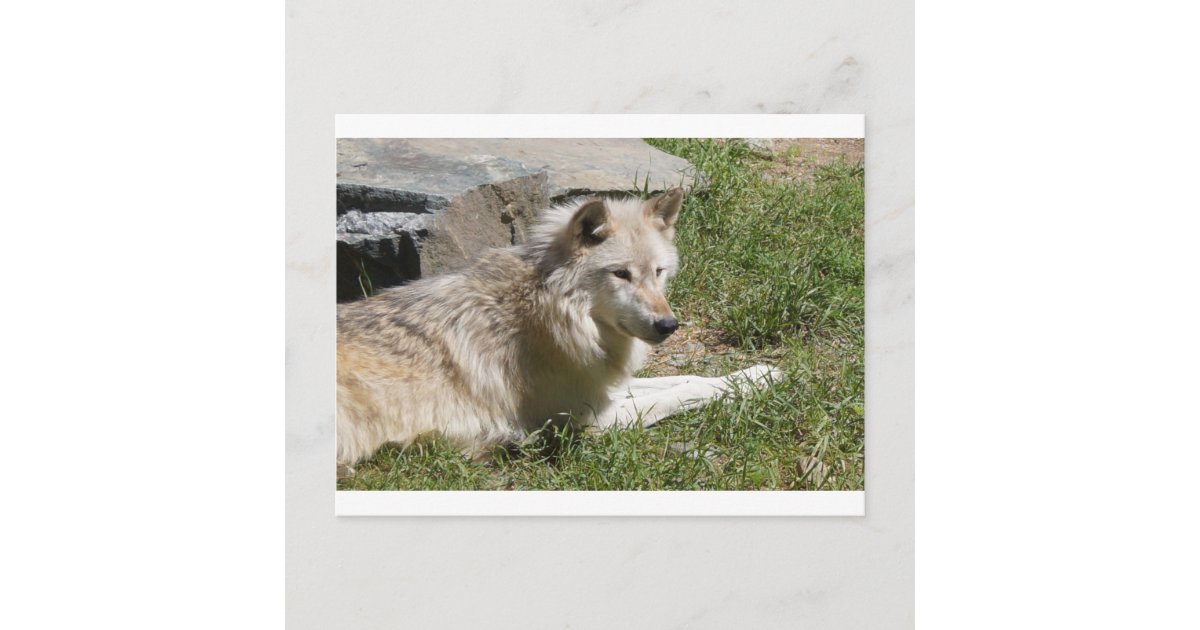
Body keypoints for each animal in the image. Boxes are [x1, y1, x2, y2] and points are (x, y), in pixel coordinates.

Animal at [336, 188, 782, 468]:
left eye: (658, 272)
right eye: (621, 274)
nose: (669, 325)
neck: (547, 311)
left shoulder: (599, 388)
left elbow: (688, 378)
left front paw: (760, 374)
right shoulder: (592, 422)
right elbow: (680, 393)